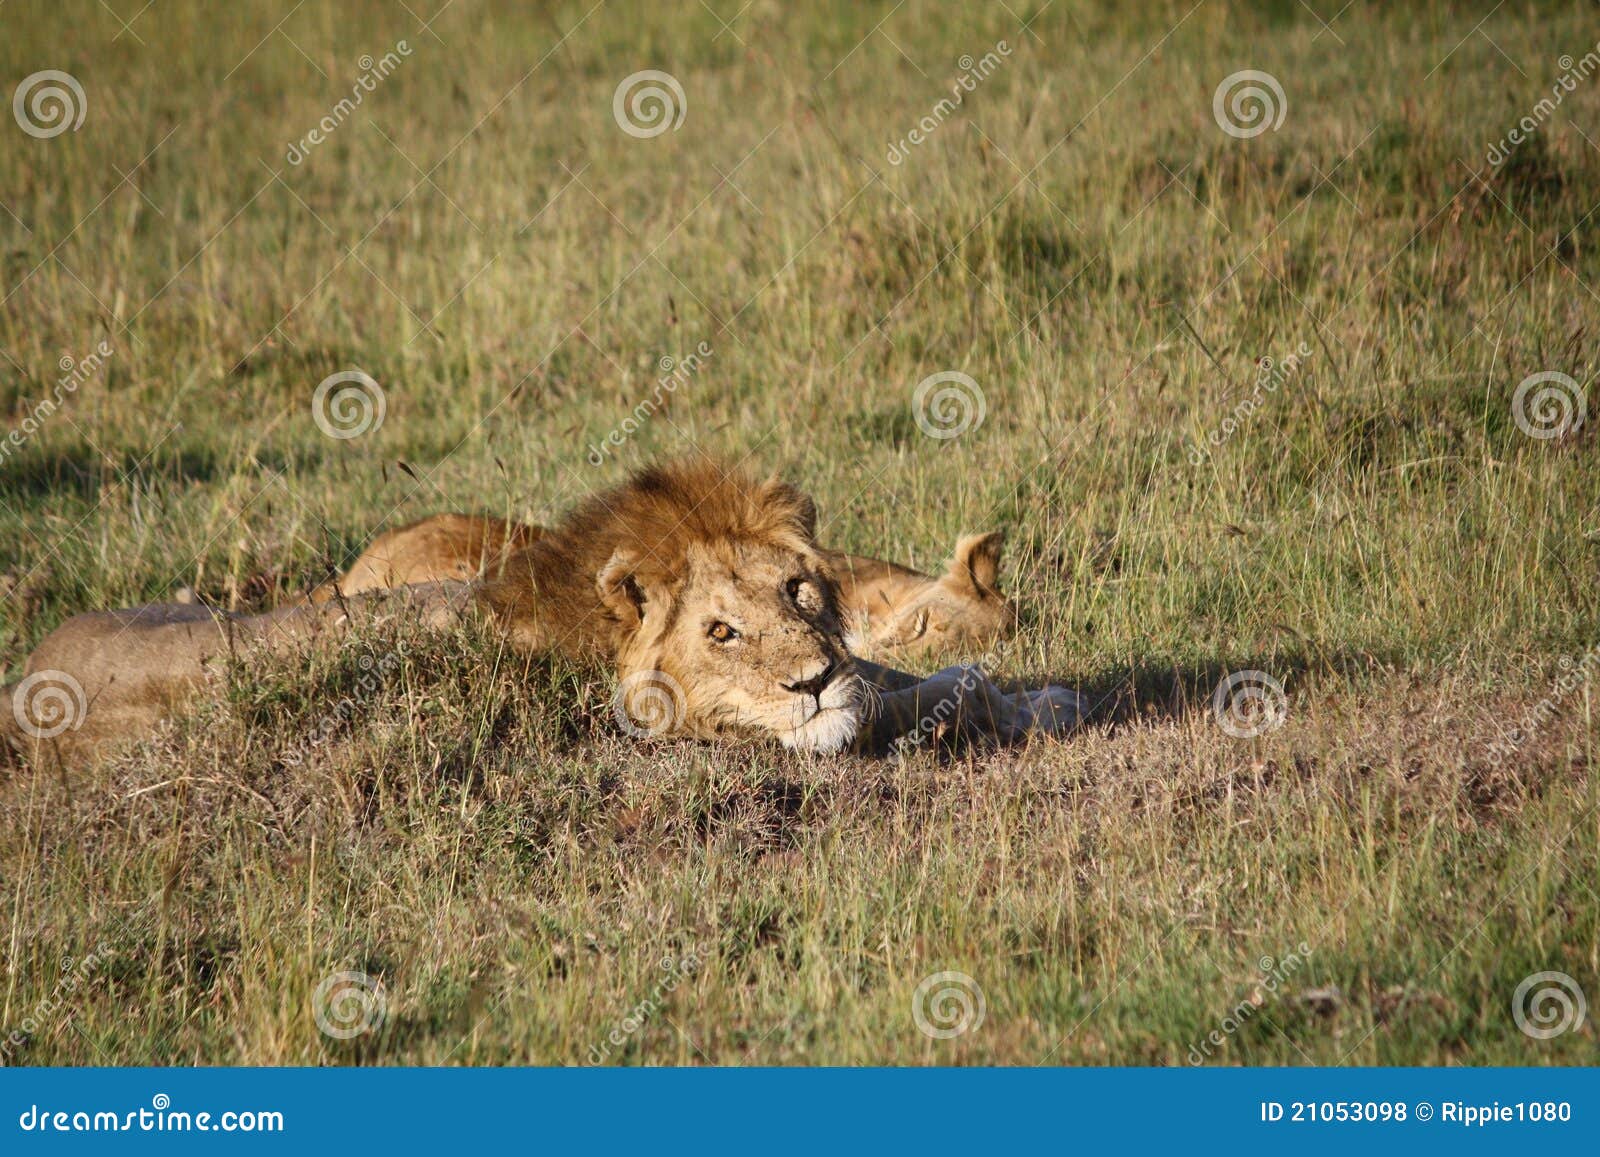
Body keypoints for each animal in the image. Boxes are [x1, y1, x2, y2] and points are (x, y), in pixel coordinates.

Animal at [3, 459, 1078, 764]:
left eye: (799, 591)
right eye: (719, 631)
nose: (809, 678)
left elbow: (891, 676)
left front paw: (1038, 694)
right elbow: (889, 699)